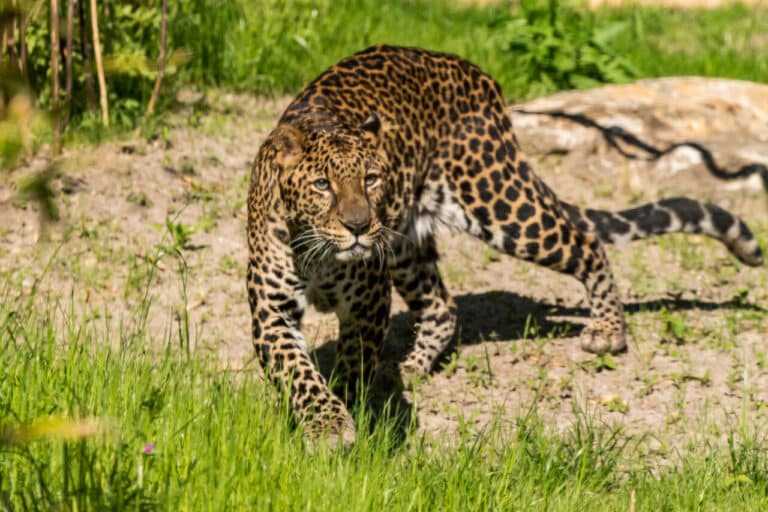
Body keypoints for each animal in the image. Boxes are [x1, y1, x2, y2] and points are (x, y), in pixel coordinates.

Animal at [246, 45, 763, 447]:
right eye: (322, 185)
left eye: (371, 179)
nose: (357, 225)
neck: (318, 252)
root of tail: (472, 71)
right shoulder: (272, 311)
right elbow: (298, 372)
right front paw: (328, 424)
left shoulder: (368, 302)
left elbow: (354, 365)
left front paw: (352, 409)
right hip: (409, 243)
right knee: (443, 304)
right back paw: (410, 366)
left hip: (496, 200)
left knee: (586, 242)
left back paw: (607, 332)